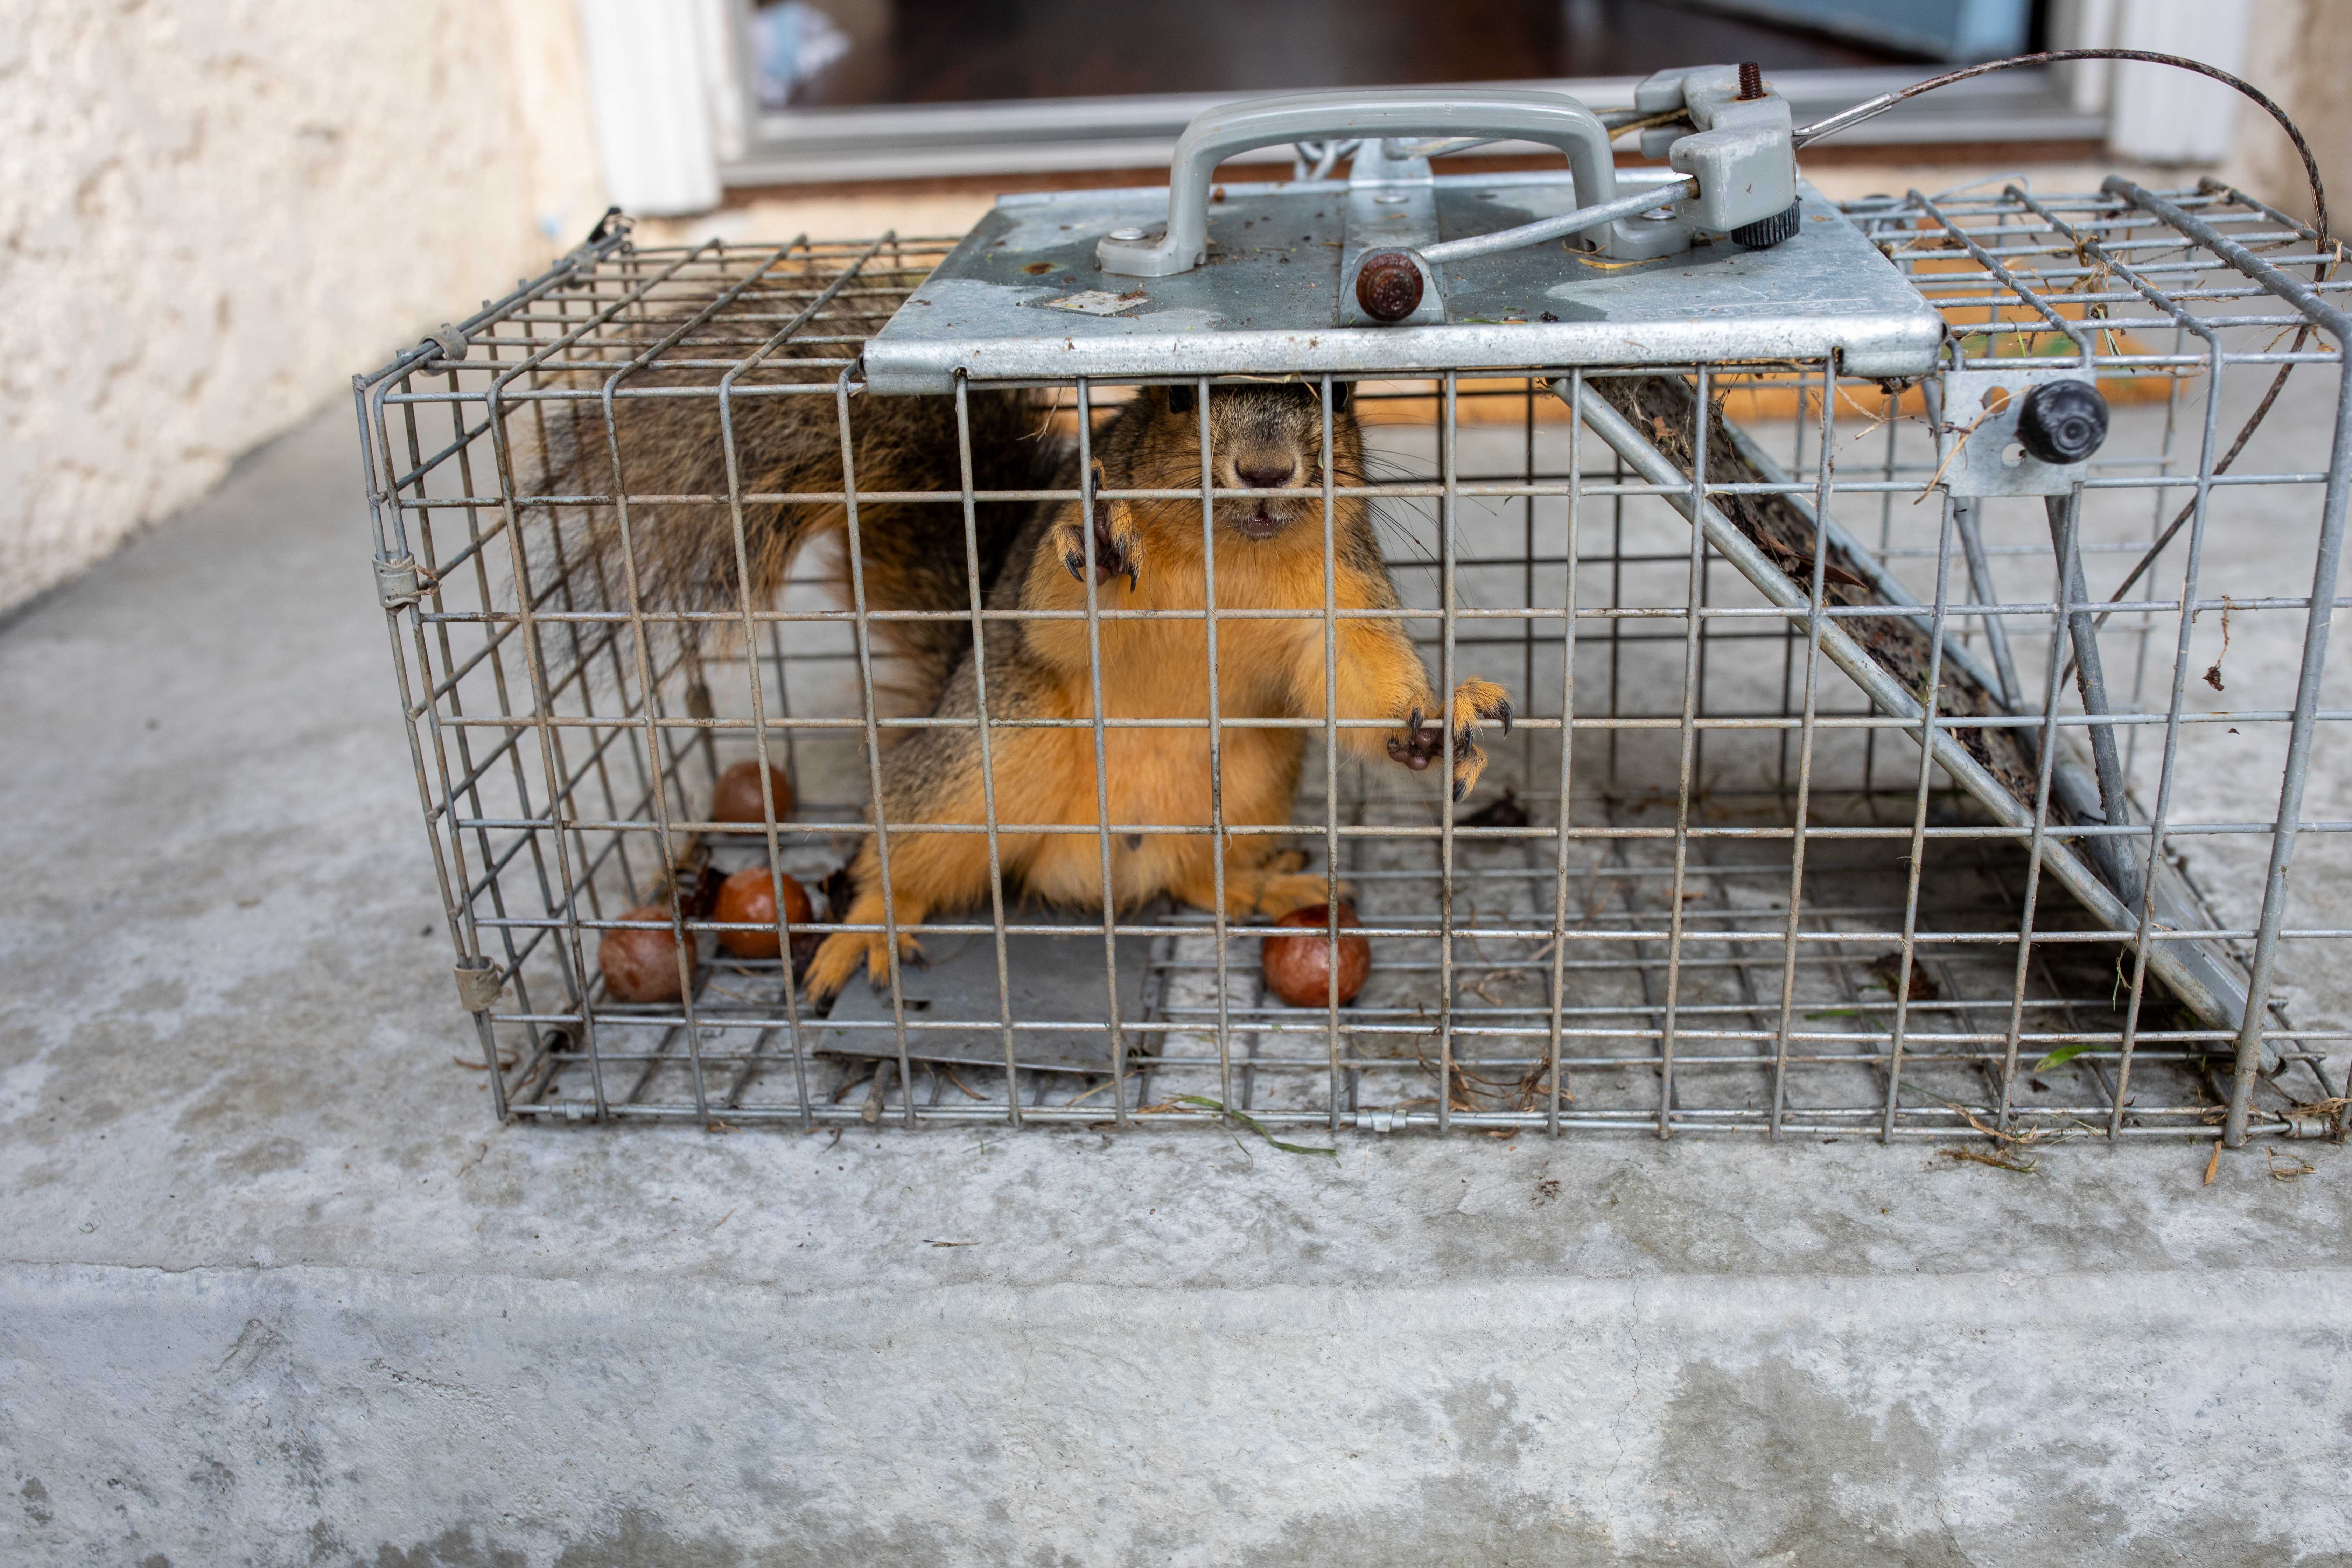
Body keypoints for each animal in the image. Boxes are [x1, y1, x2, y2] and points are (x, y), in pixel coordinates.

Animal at [533, 370, 1510, 1000]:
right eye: (1176, 395)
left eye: (1339, 395)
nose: (1267, 472)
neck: (1238, 550)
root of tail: (1101, 871)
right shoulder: (1056, 589)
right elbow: (1056, 616)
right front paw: (1101, 543)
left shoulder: (1341, 593)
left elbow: (1353, 679)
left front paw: (1436, 723)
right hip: (995, 750)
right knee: (901, 849)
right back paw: (873, 920)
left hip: (1253, 780)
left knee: (1197, 880)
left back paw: (1252, 887)